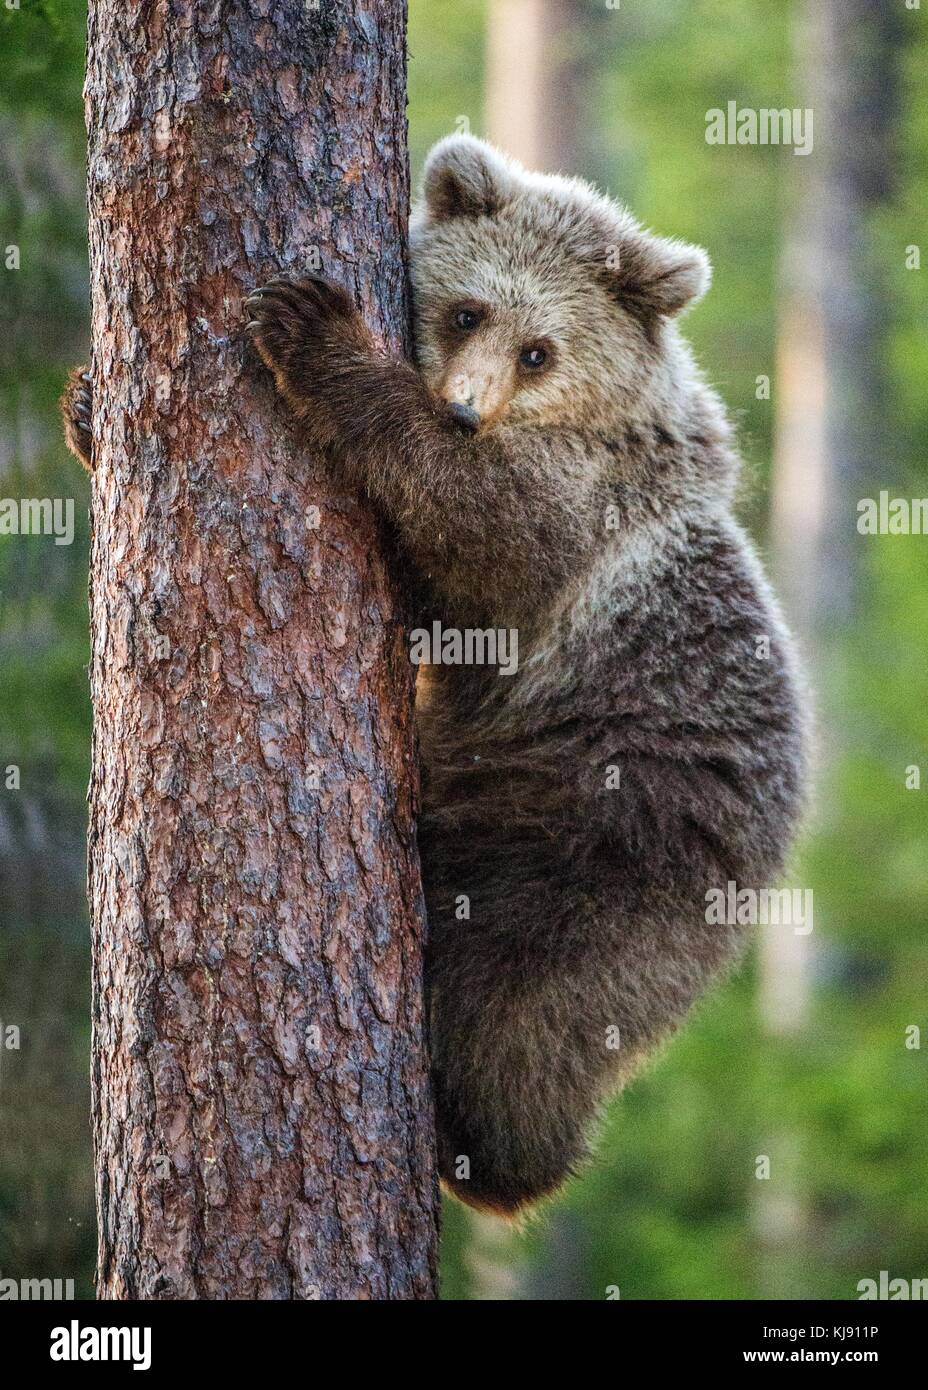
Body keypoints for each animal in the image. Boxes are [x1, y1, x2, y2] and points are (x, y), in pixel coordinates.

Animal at [62, 134, 808, 1217]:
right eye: (466, 312)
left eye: (539, 350)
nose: (460, 408)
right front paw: (87, 402)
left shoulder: (566, 528)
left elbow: (464, 524)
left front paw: (313, 326)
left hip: (605, 842)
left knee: (519, 1006)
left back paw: (489, 1148)